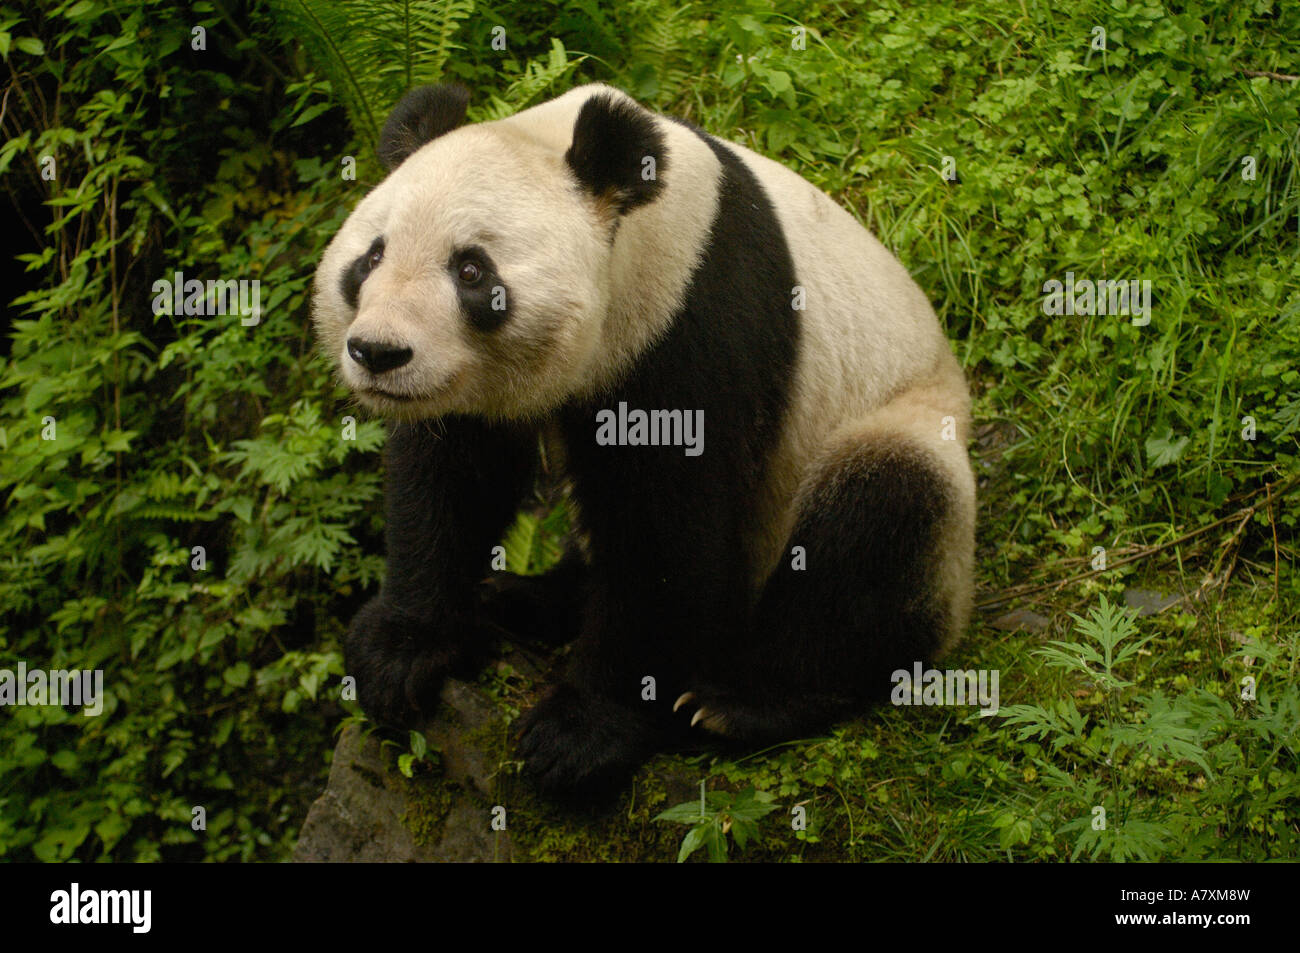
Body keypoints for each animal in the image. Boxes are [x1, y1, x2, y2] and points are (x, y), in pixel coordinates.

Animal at [312, 83, 976, 800]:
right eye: (371, 257)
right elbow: (451, 475)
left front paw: (579, 735)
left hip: (900, 435)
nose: (379, 353)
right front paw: (401, 652)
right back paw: (526, 599)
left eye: (471, 271)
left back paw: (741, 703)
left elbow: (668, 529)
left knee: (877, 519)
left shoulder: (695, 317)